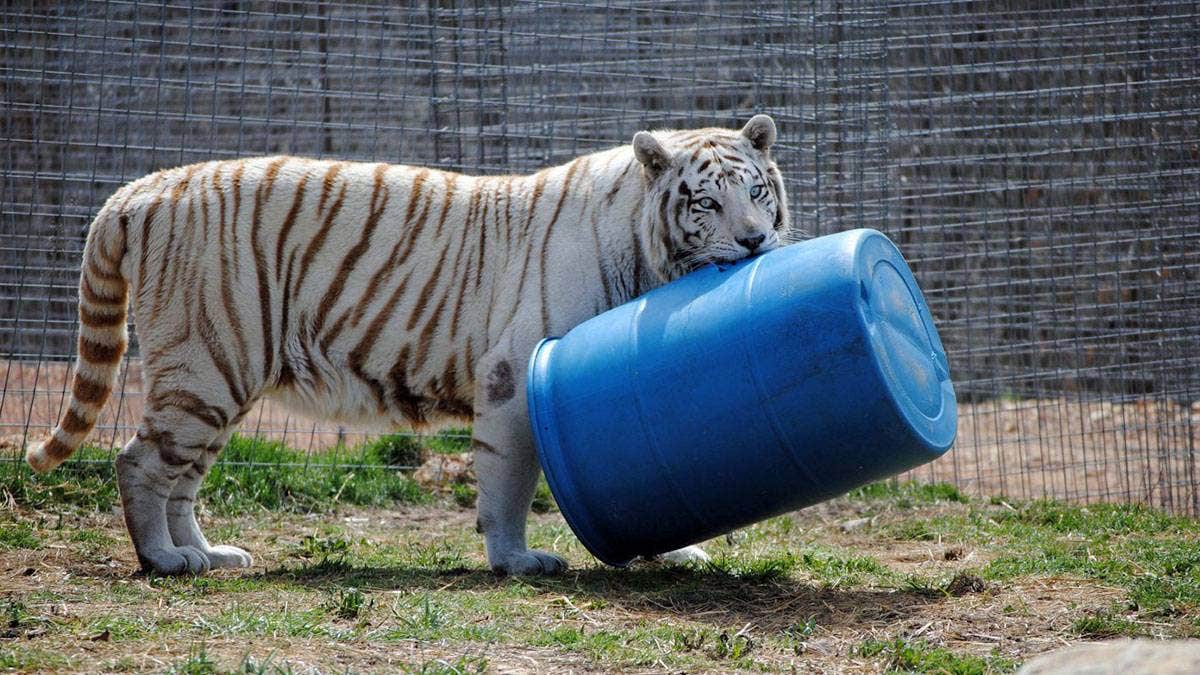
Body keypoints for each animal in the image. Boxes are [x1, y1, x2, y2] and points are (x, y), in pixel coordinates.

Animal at [26, 114, 791, 576]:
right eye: (707, 203)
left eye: (757, 192)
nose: (757, 240)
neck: (640, 249)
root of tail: (142, 187)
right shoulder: (512, 380)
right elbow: (510, 485)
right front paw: (517, 562)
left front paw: (683, 551)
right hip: (205, 368)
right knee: (137, 462)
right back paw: (164, 561)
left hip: (220, 379)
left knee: (180, 478)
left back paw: (210, 555)